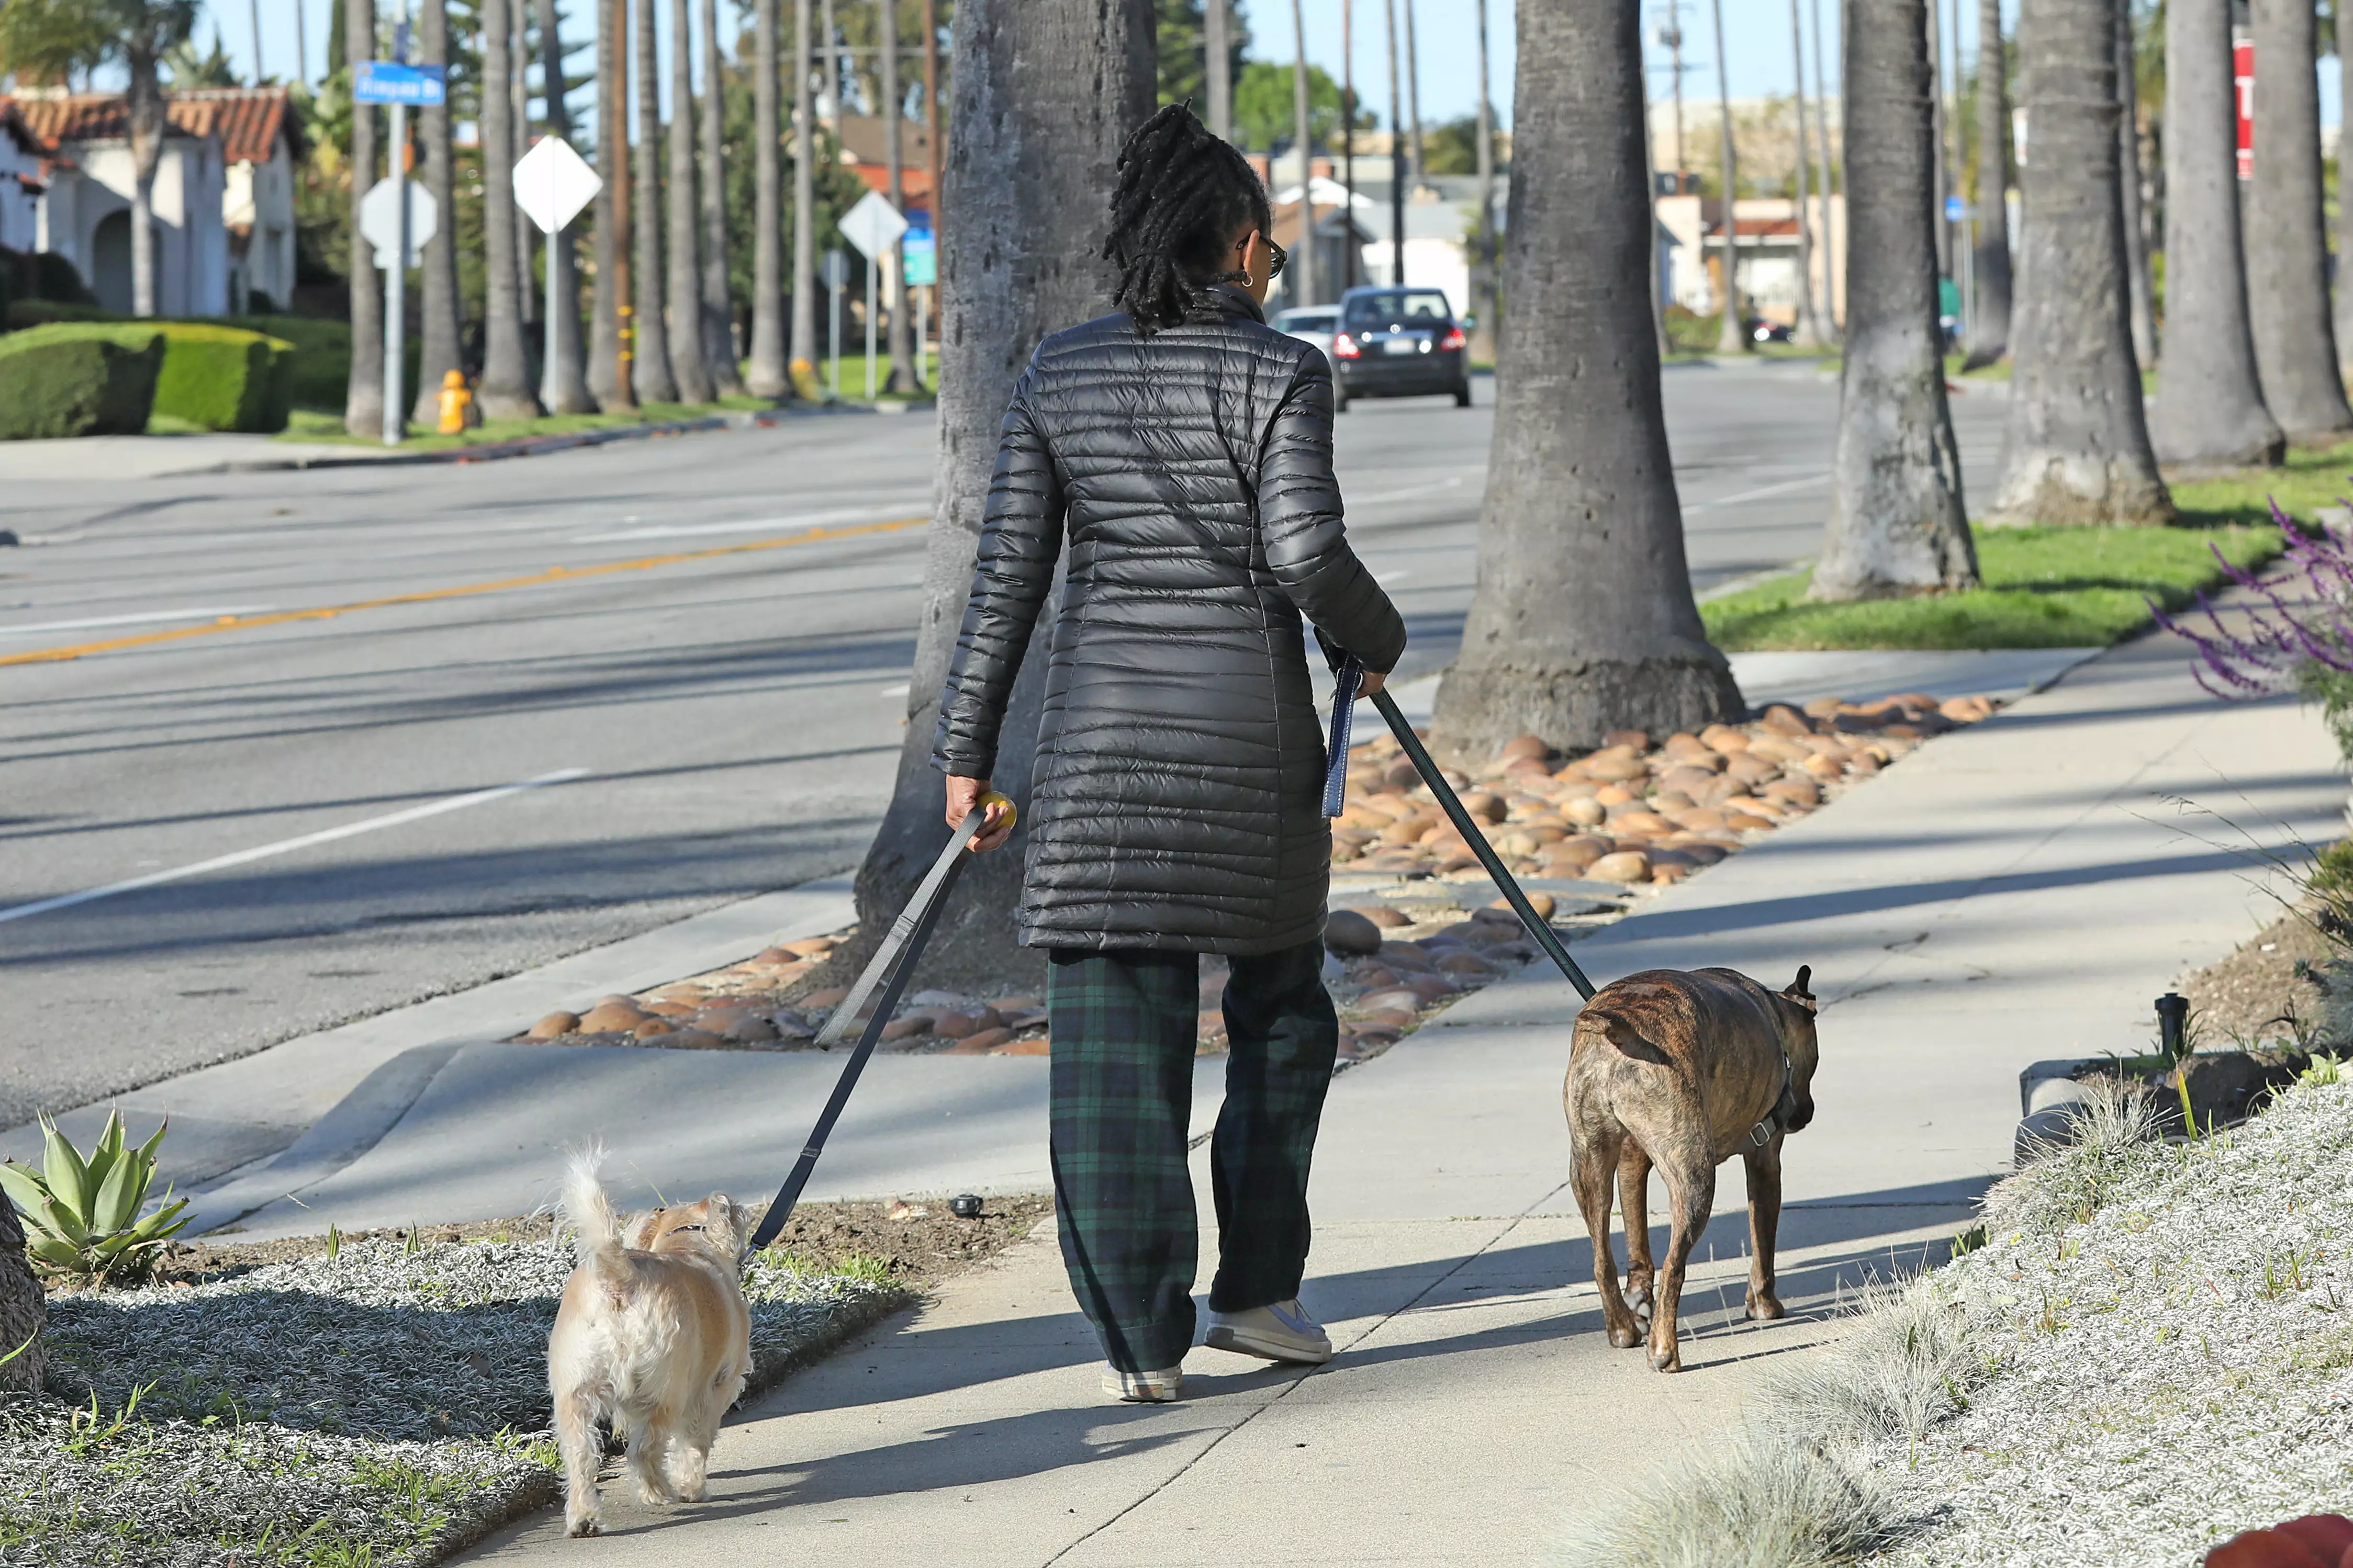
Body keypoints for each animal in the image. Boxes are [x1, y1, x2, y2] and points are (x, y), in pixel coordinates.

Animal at [551, 1147, 753, 1542]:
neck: (686, 1245)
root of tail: (620, 1279)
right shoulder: (716, 1385)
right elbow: (695, 1440)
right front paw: (692, 1487)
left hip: (575, 1394)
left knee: (582, 1457)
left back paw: (584, 1519)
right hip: (665, 1389)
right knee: (644, 1449)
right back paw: (658, 1492)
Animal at [1562, 968, 1816, 1373]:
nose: (1806, 1113)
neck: (1775, 1013)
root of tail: (1617, 1026)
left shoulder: (1633, 1158)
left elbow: (1636, 1235)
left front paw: (1639, 1300)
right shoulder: (1765, 1161)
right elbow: (1763, 1243)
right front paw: (1764, 1304)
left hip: (1589, 1162)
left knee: (1602, 1258)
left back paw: (1623, 1329)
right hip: (1694, 1176)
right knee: (1674, 1265)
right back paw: (1663, 1350)